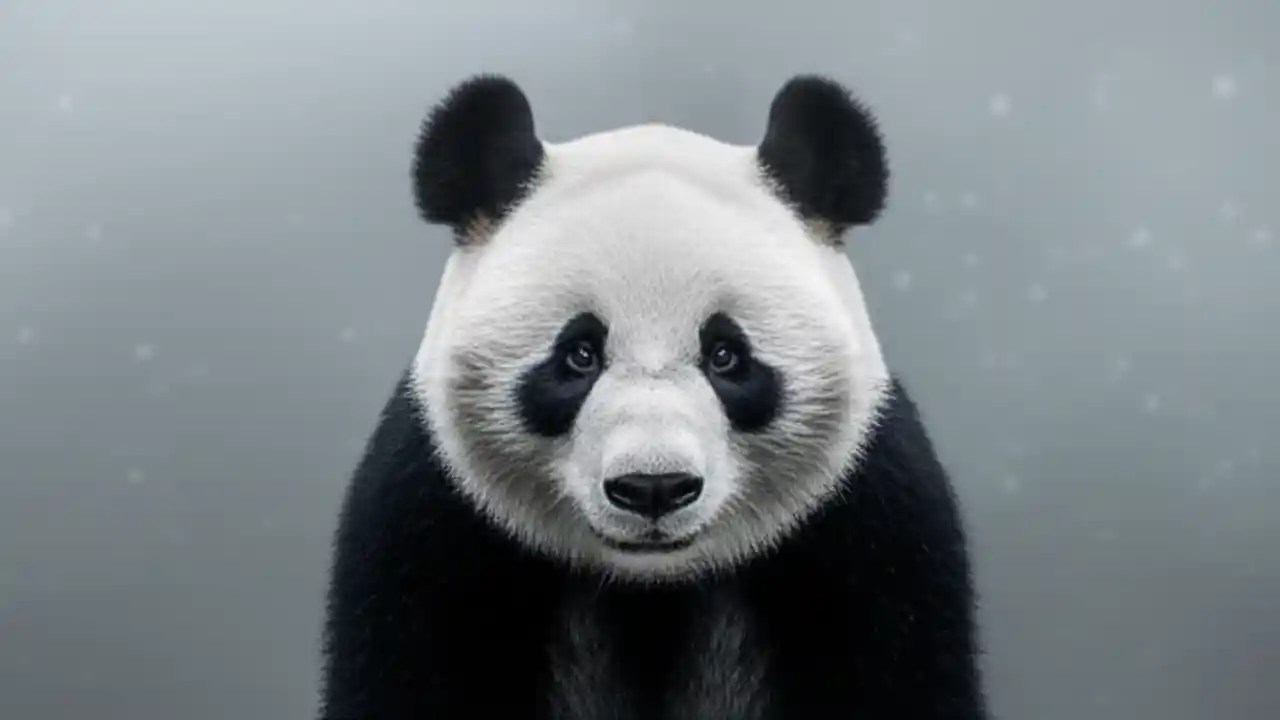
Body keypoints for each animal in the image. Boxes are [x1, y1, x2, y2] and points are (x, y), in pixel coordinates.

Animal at [318, 74, 988, 719]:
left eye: (726, 356)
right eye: (579, 355)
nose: (653, 488)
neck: (652, 588)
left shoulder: (875, 530)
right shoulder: (428, 527)